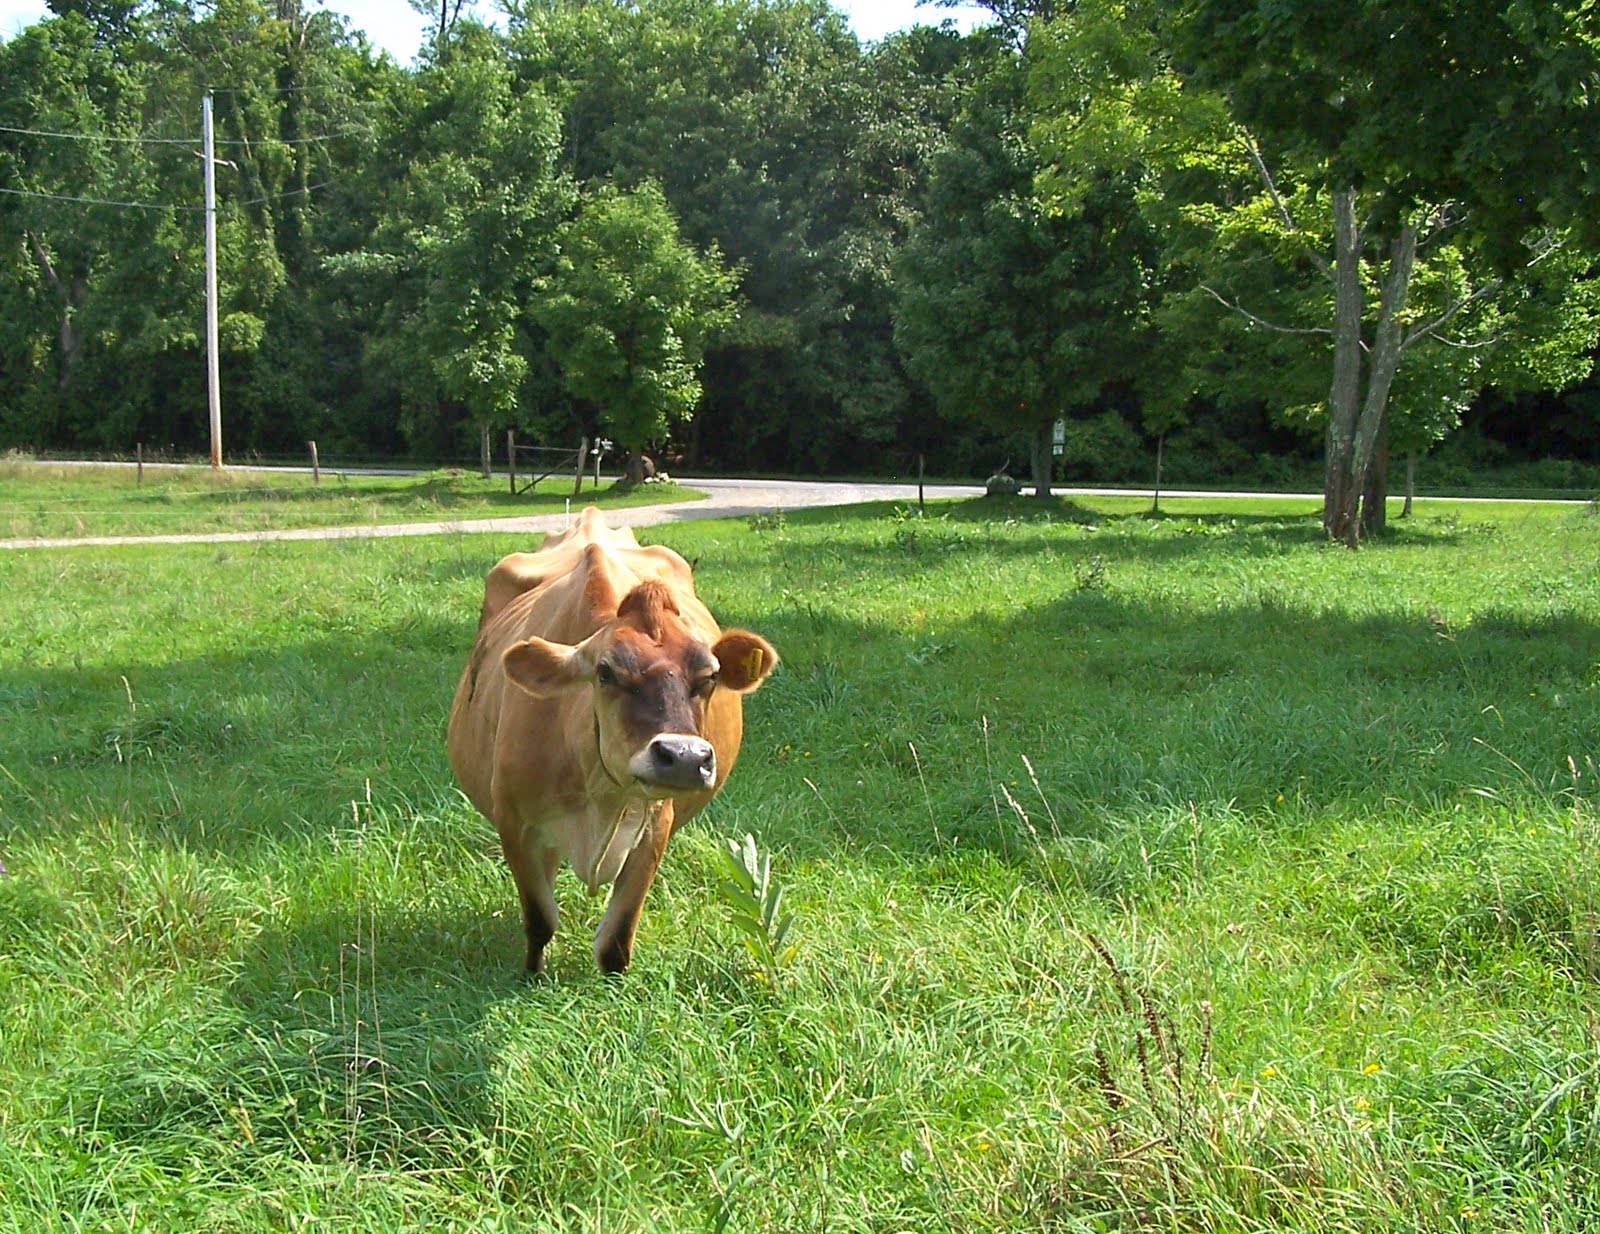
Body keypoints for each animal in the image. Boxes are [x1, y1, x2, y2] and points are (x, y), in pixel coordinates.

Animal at [447, 506, 778, 976]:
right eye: (604, 672)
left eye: (711, 676)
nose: (683, 757)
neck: (600, 795)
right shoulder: (514, 822)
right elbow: (539, 918)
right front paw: (533, 974)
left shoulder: (655, 827)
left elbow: (616, 942)